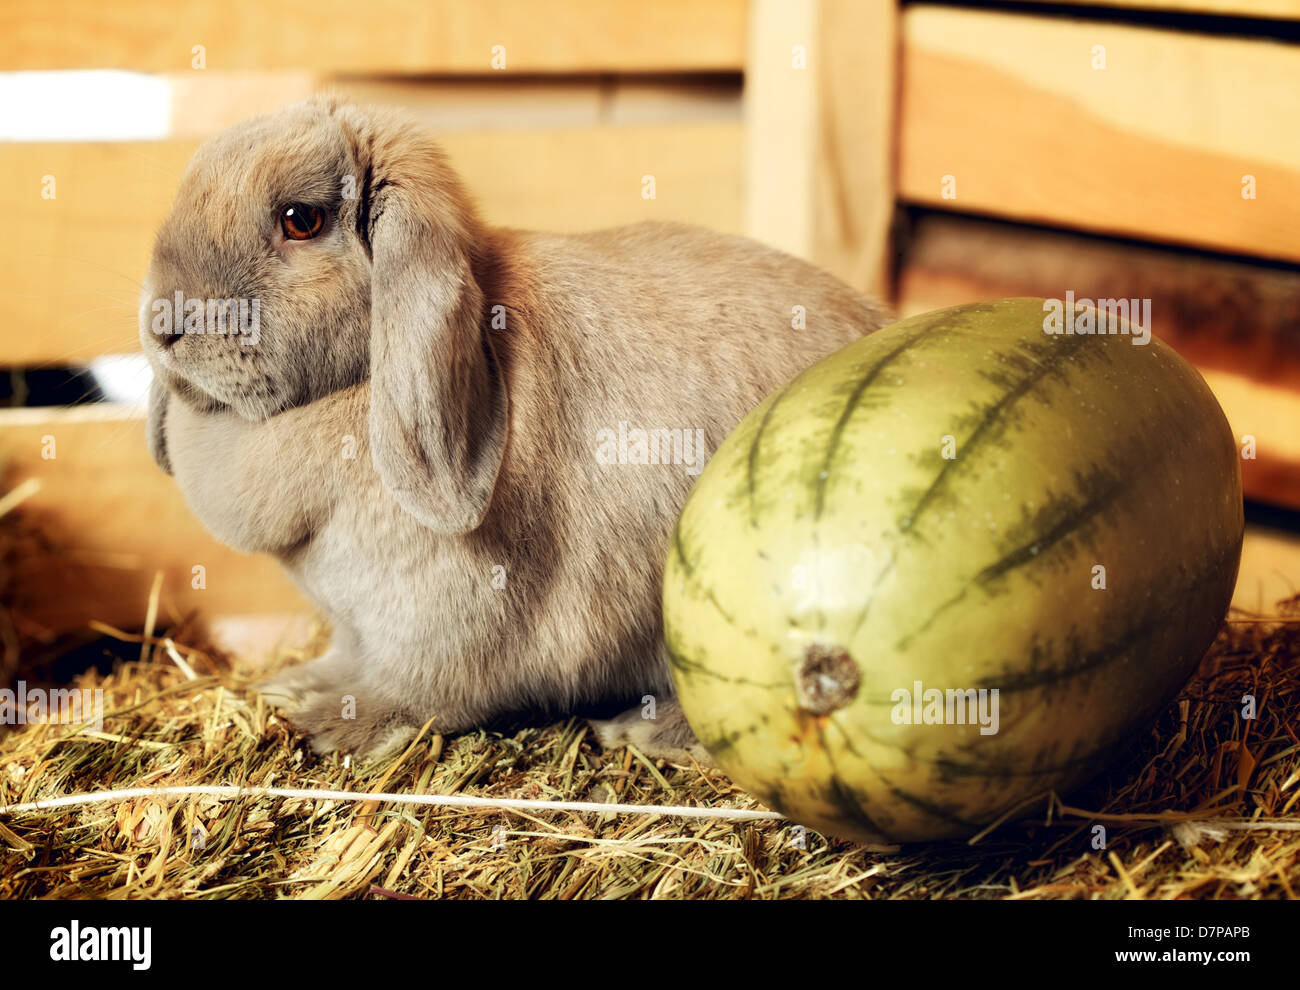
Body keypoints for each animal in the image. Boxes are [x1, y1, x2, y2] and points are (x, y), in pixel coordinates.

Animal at [139, 95, 889, 764]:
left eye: (301, 220)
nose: (163, 324)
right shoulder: (354, 624)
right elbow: (346, 658)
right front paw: (291, 687)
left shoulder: (440, 622)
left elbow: (415, 690)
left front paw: (335, 726)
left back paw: (646, 731)